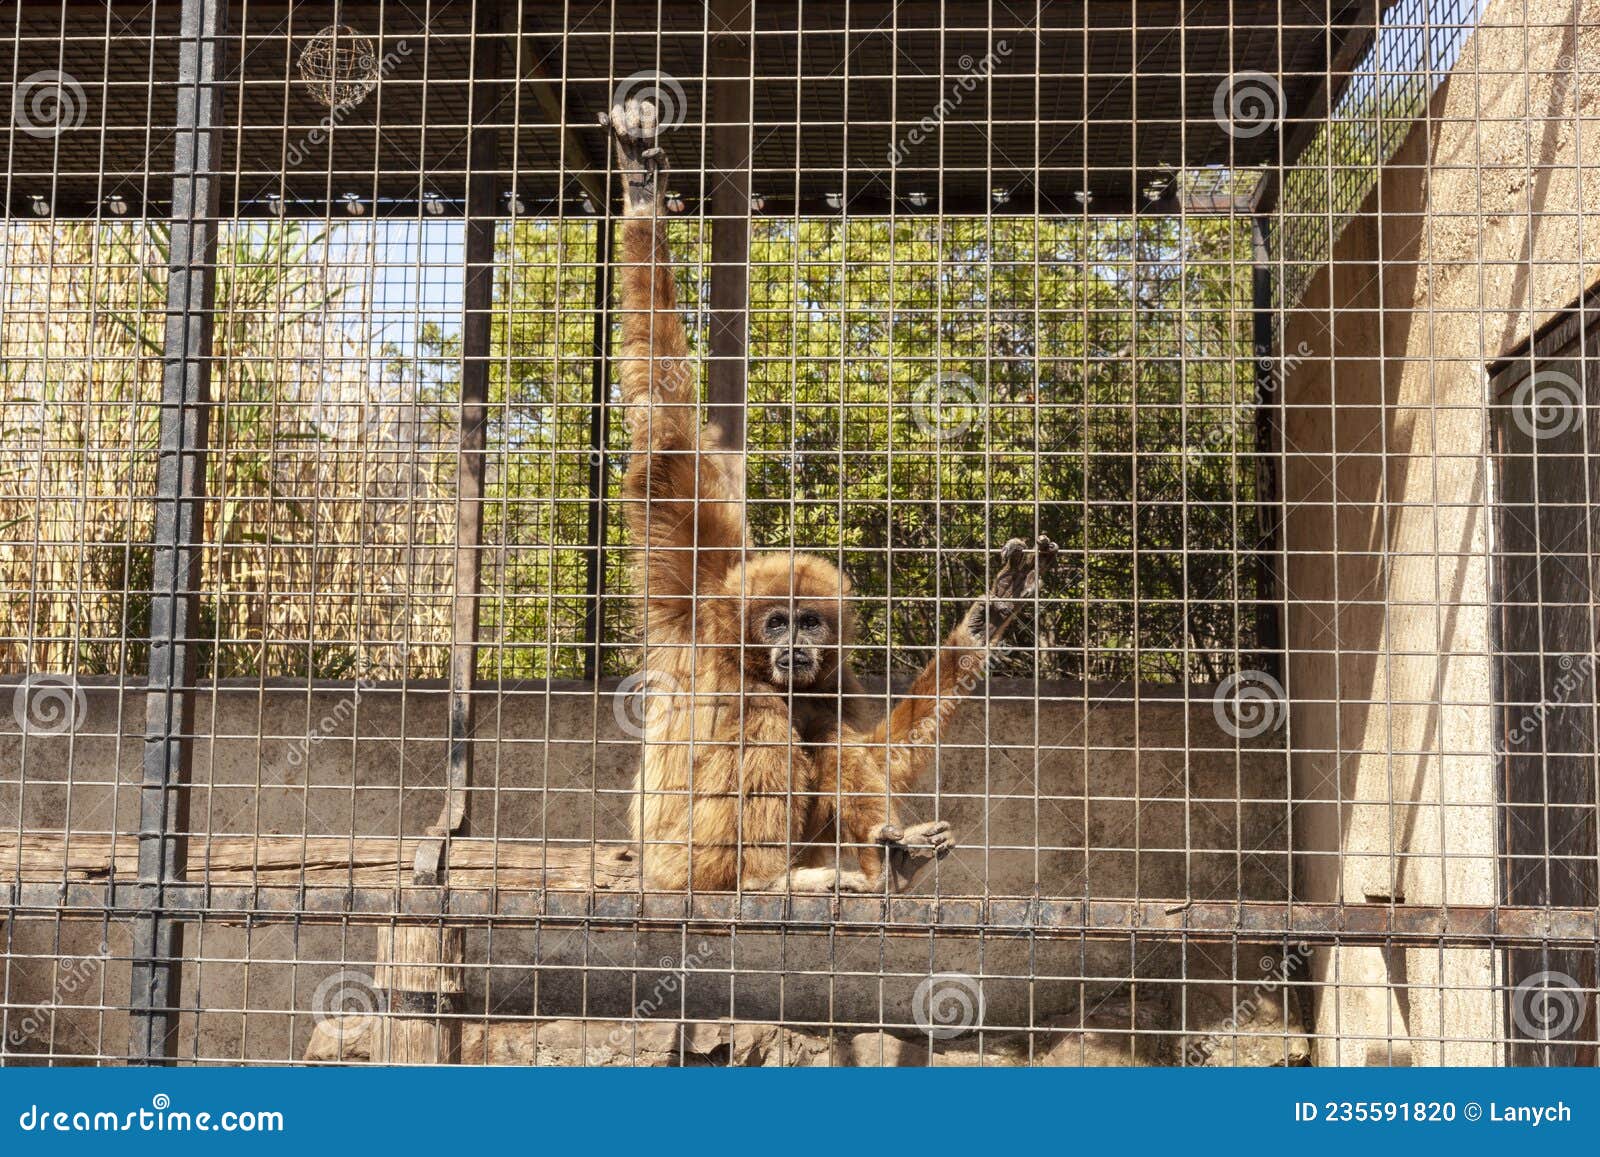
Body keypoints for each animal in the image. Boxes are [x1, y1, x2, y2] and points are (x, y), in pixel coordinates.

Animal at [602, 96, 1056, 892]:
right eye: (777, 622)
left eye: (810, 623)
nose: (793, 645)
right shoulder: (697, 593)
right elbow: (666, 431)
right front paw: (643, 188)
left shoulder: (817, 662)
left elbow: (869, 744)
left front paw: (986, 619)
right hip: (680, 866)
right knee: (759, 715)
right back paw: (766, 882)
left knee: (826, 735)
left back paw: (893, 863)